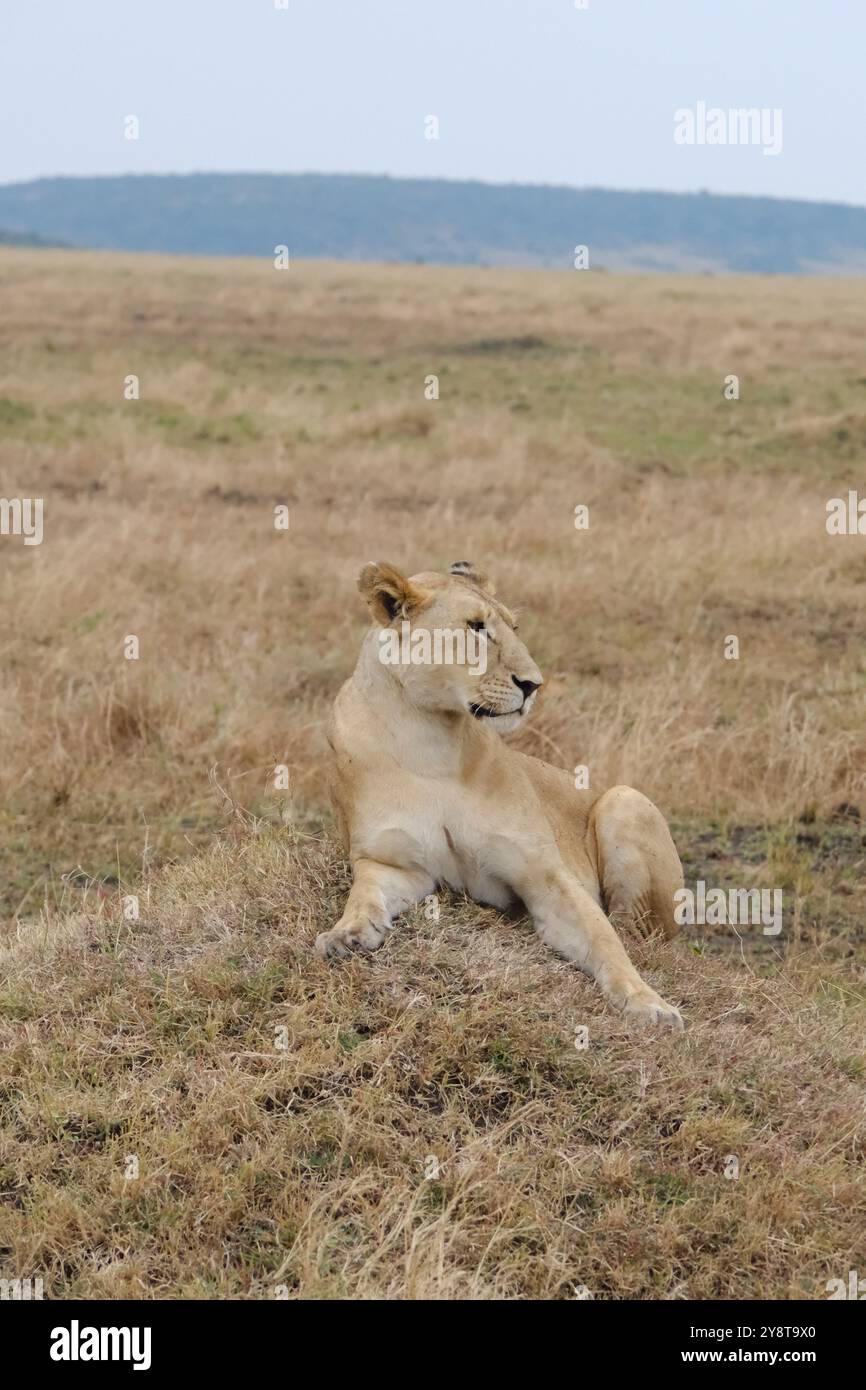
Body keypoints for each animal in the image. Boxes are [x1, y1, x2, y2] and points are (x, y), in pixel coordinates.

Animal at [316, 560, 685, 1029]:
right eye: (475, 628)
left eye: (514, 627)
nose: (534, 685)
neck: (428, 737)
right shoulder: (392, 863)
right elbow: (364, 895)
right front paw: (344, 936)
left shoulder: (543, 875)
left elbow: (602, 939)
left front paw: (648, 1003)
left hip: (625, 798)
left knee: (634, 933)